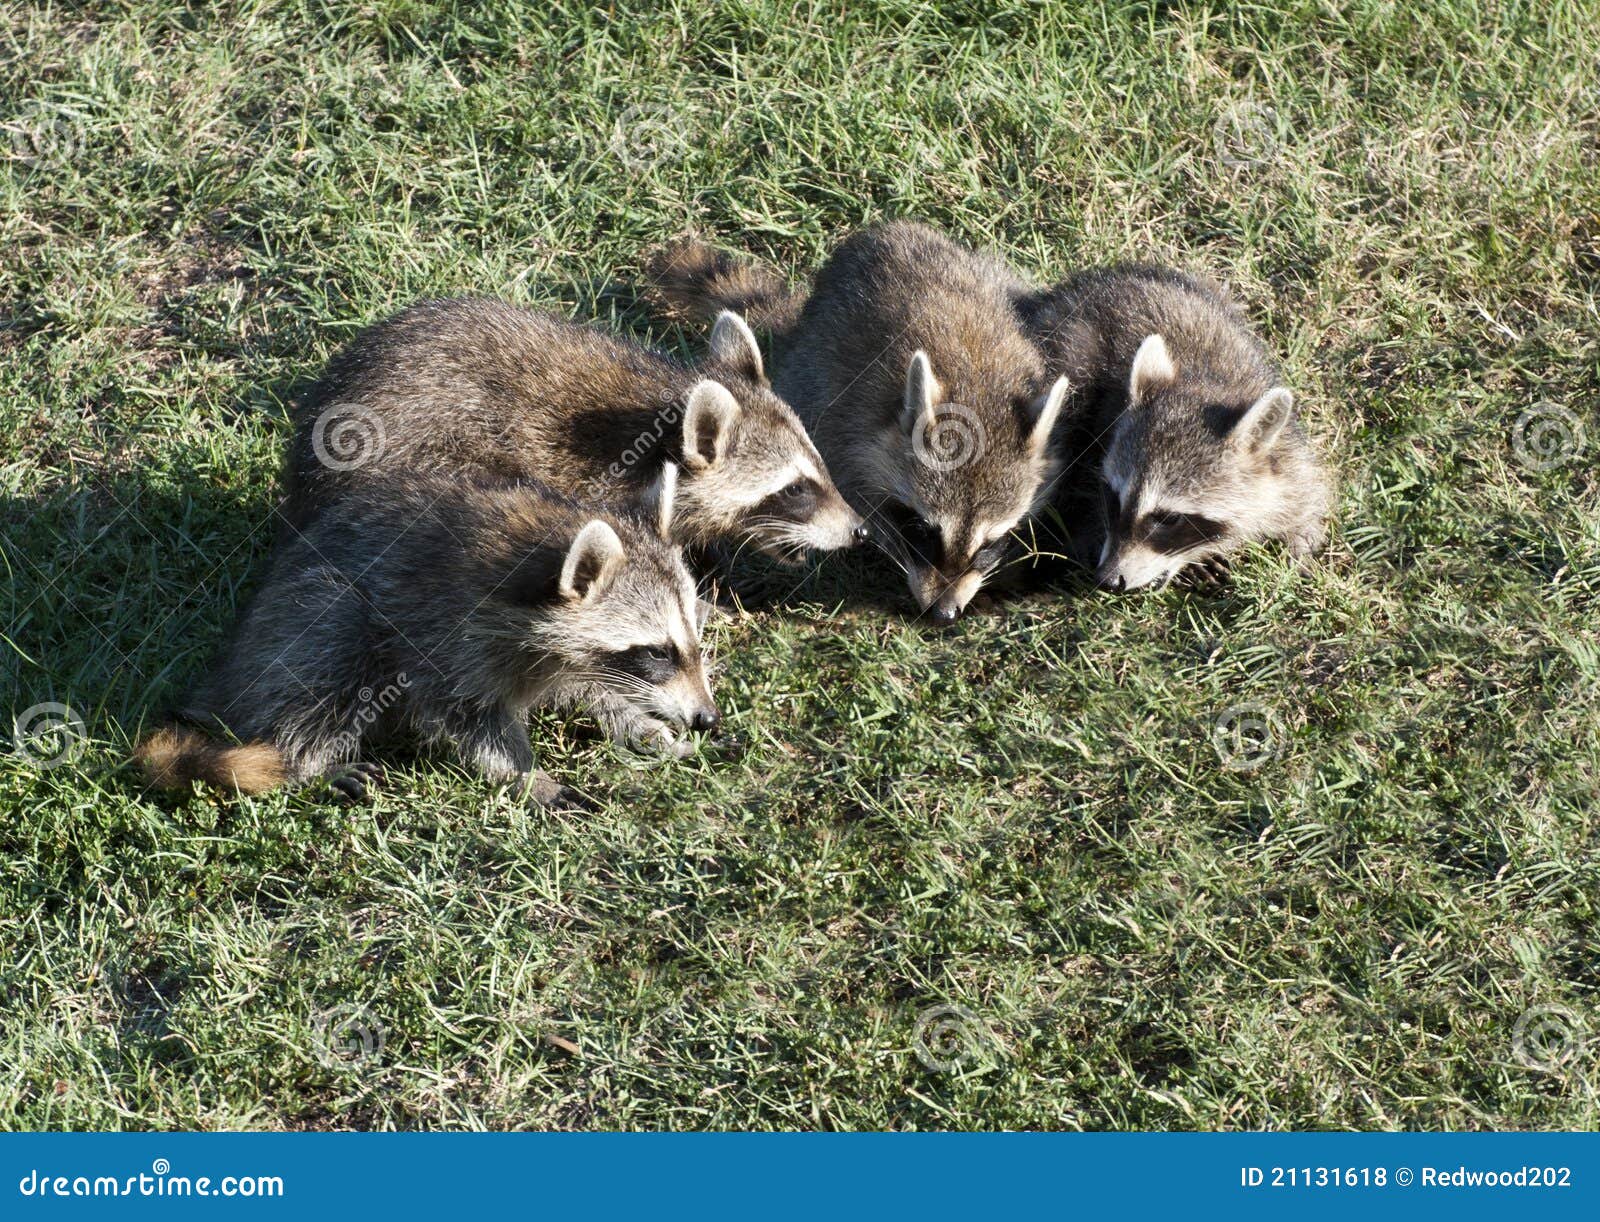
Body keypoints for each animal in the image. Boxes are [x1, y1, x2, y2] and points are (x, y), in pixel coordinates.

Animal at [135, 465, 716, 807]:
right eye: (657, 652)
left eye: (692, 635)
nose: (707, 717)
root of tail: (226, 674)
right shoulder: (442, 632)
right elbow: (469, 718)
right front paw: (527, 775)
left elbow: (594, 685)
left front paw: (641, 722)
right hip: (304, 622)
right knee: (327, 657)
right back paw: (304, 762)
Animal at [649, 222, 1068, 623]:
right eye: (923, 530)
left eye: (990, 544)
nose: (943, 615)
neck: (977, 388)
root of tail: (883, 232)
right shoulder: (847, 426)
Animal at [1017, 265, 1332, 591]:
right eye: (1114, 499)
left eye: (1169, 518)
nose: (1108, 579)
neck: (1204, 385)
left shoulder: (1286, 455)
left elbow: (1302, 495)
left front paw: (1301, 541)